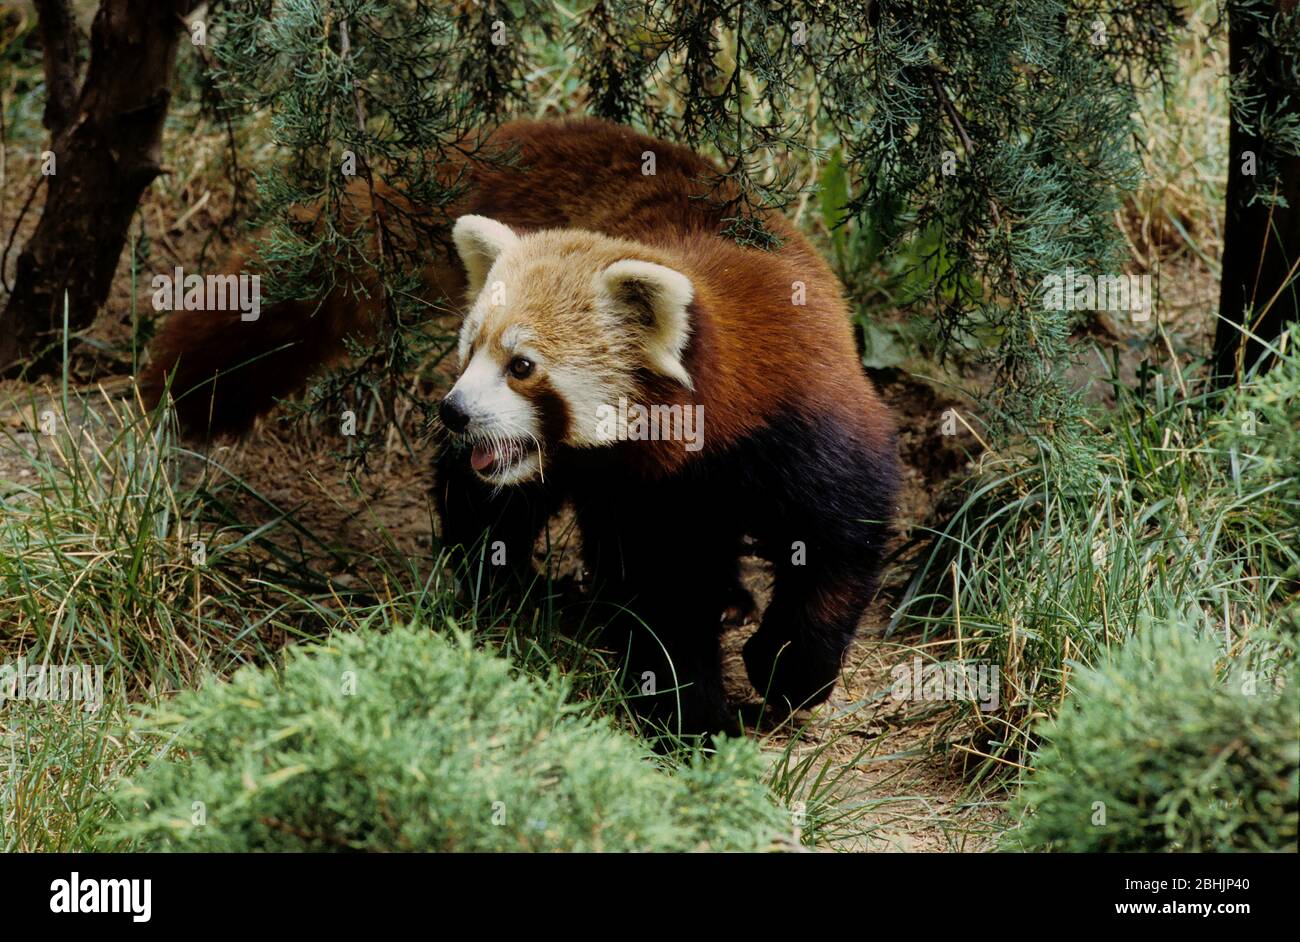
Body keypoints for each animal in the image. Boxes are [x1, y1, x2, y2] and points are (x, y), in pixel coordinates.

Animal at [142, 117, 900, 739]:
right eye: (470, 349)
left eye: (523, 366)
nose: (453, 410)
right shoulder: (644, 498)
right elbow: (660, 598)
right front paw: (691, 717)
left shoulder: (806, 427)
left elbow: (839, 548)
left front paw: (789, 667)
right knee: (489, 504)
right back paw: (517, 588)